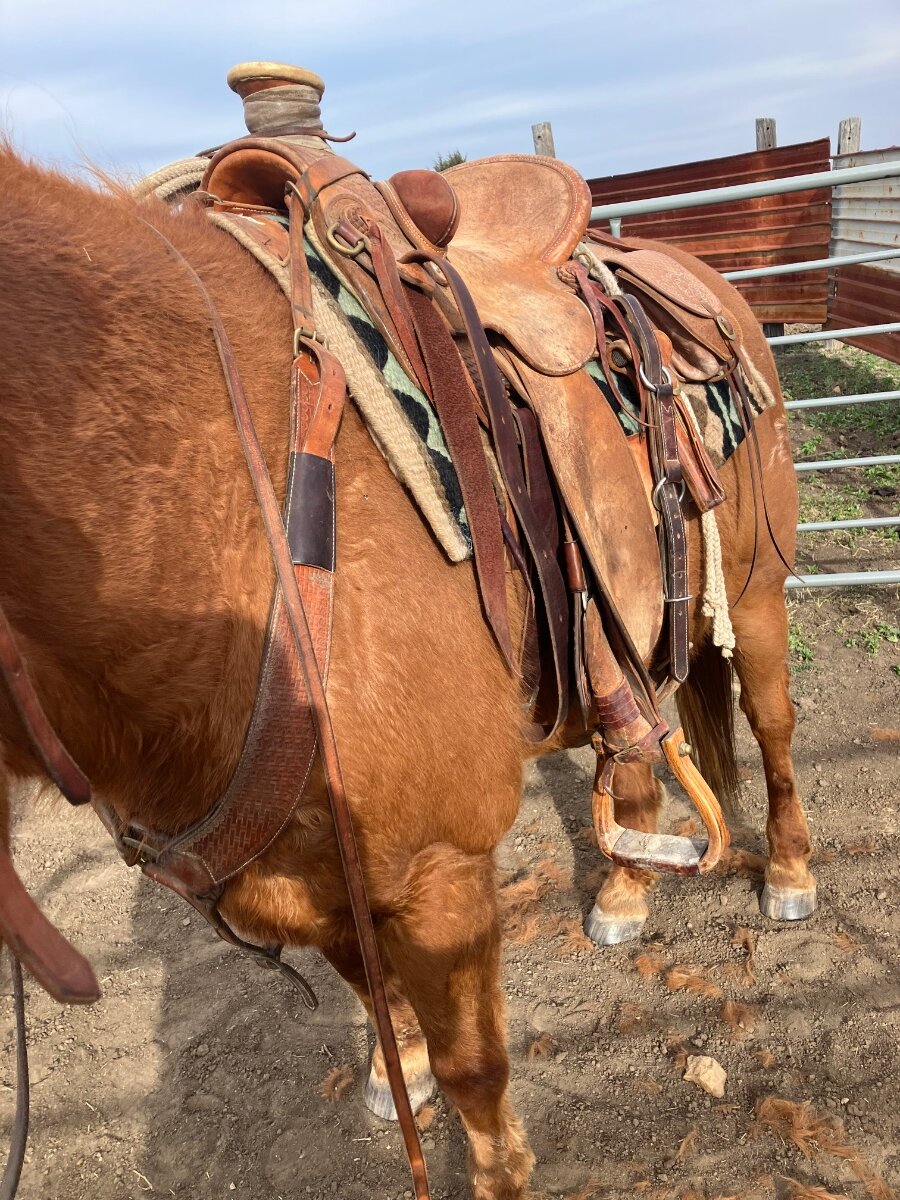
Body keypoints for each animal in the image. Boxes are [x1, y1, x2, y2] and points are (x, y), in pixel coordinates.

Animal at [0, 142, 815, 1200]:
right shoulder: (318, 875)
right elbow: (375, 996)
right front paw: (405, 1076)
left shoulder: (440, 872)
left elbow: (478, 1077)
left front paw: (492, 1157)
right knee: (633, 740)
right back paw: (627, 887)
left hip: (756, 596)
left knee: (775, 729)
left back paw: (790, 872)